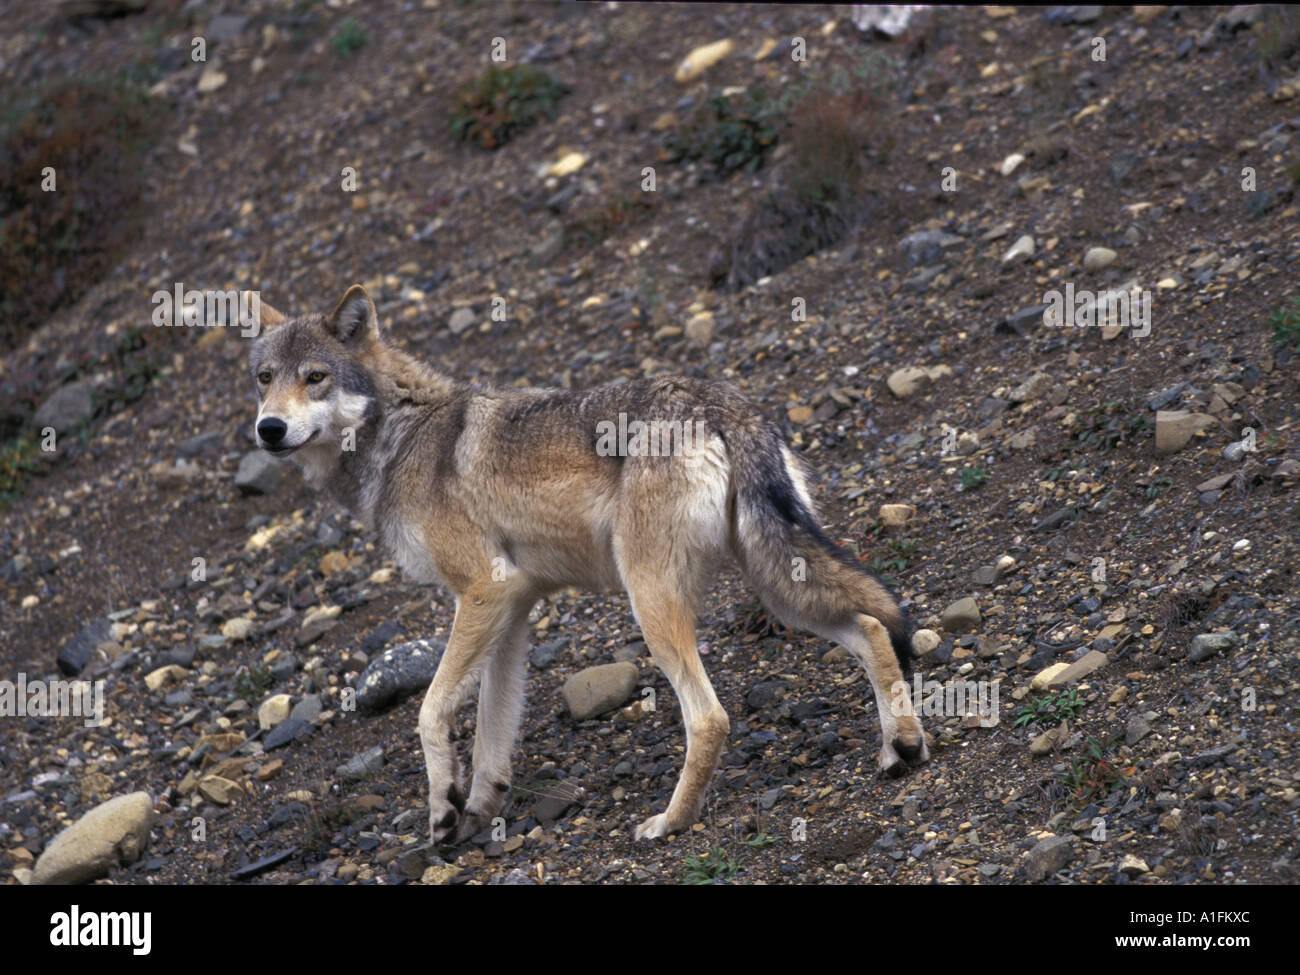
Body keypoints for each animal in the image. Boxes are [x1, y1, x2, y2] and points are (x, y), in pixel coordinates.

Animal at [246, 285, 929, 842]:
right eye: (264, 377)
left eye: (315, 377)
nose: (268, 429)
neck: (403, 437)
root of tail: (721, 403)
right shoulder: (513, 608)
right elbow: (494, 726)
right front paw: (481, 808)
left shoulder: (485, 591)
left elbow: (429, 710)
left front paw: (443, 808)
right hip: (776, 585)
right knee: (872, 626)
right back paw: (902, 746)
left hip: (654, 600)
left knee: (710, 717)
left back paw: (670, 822)